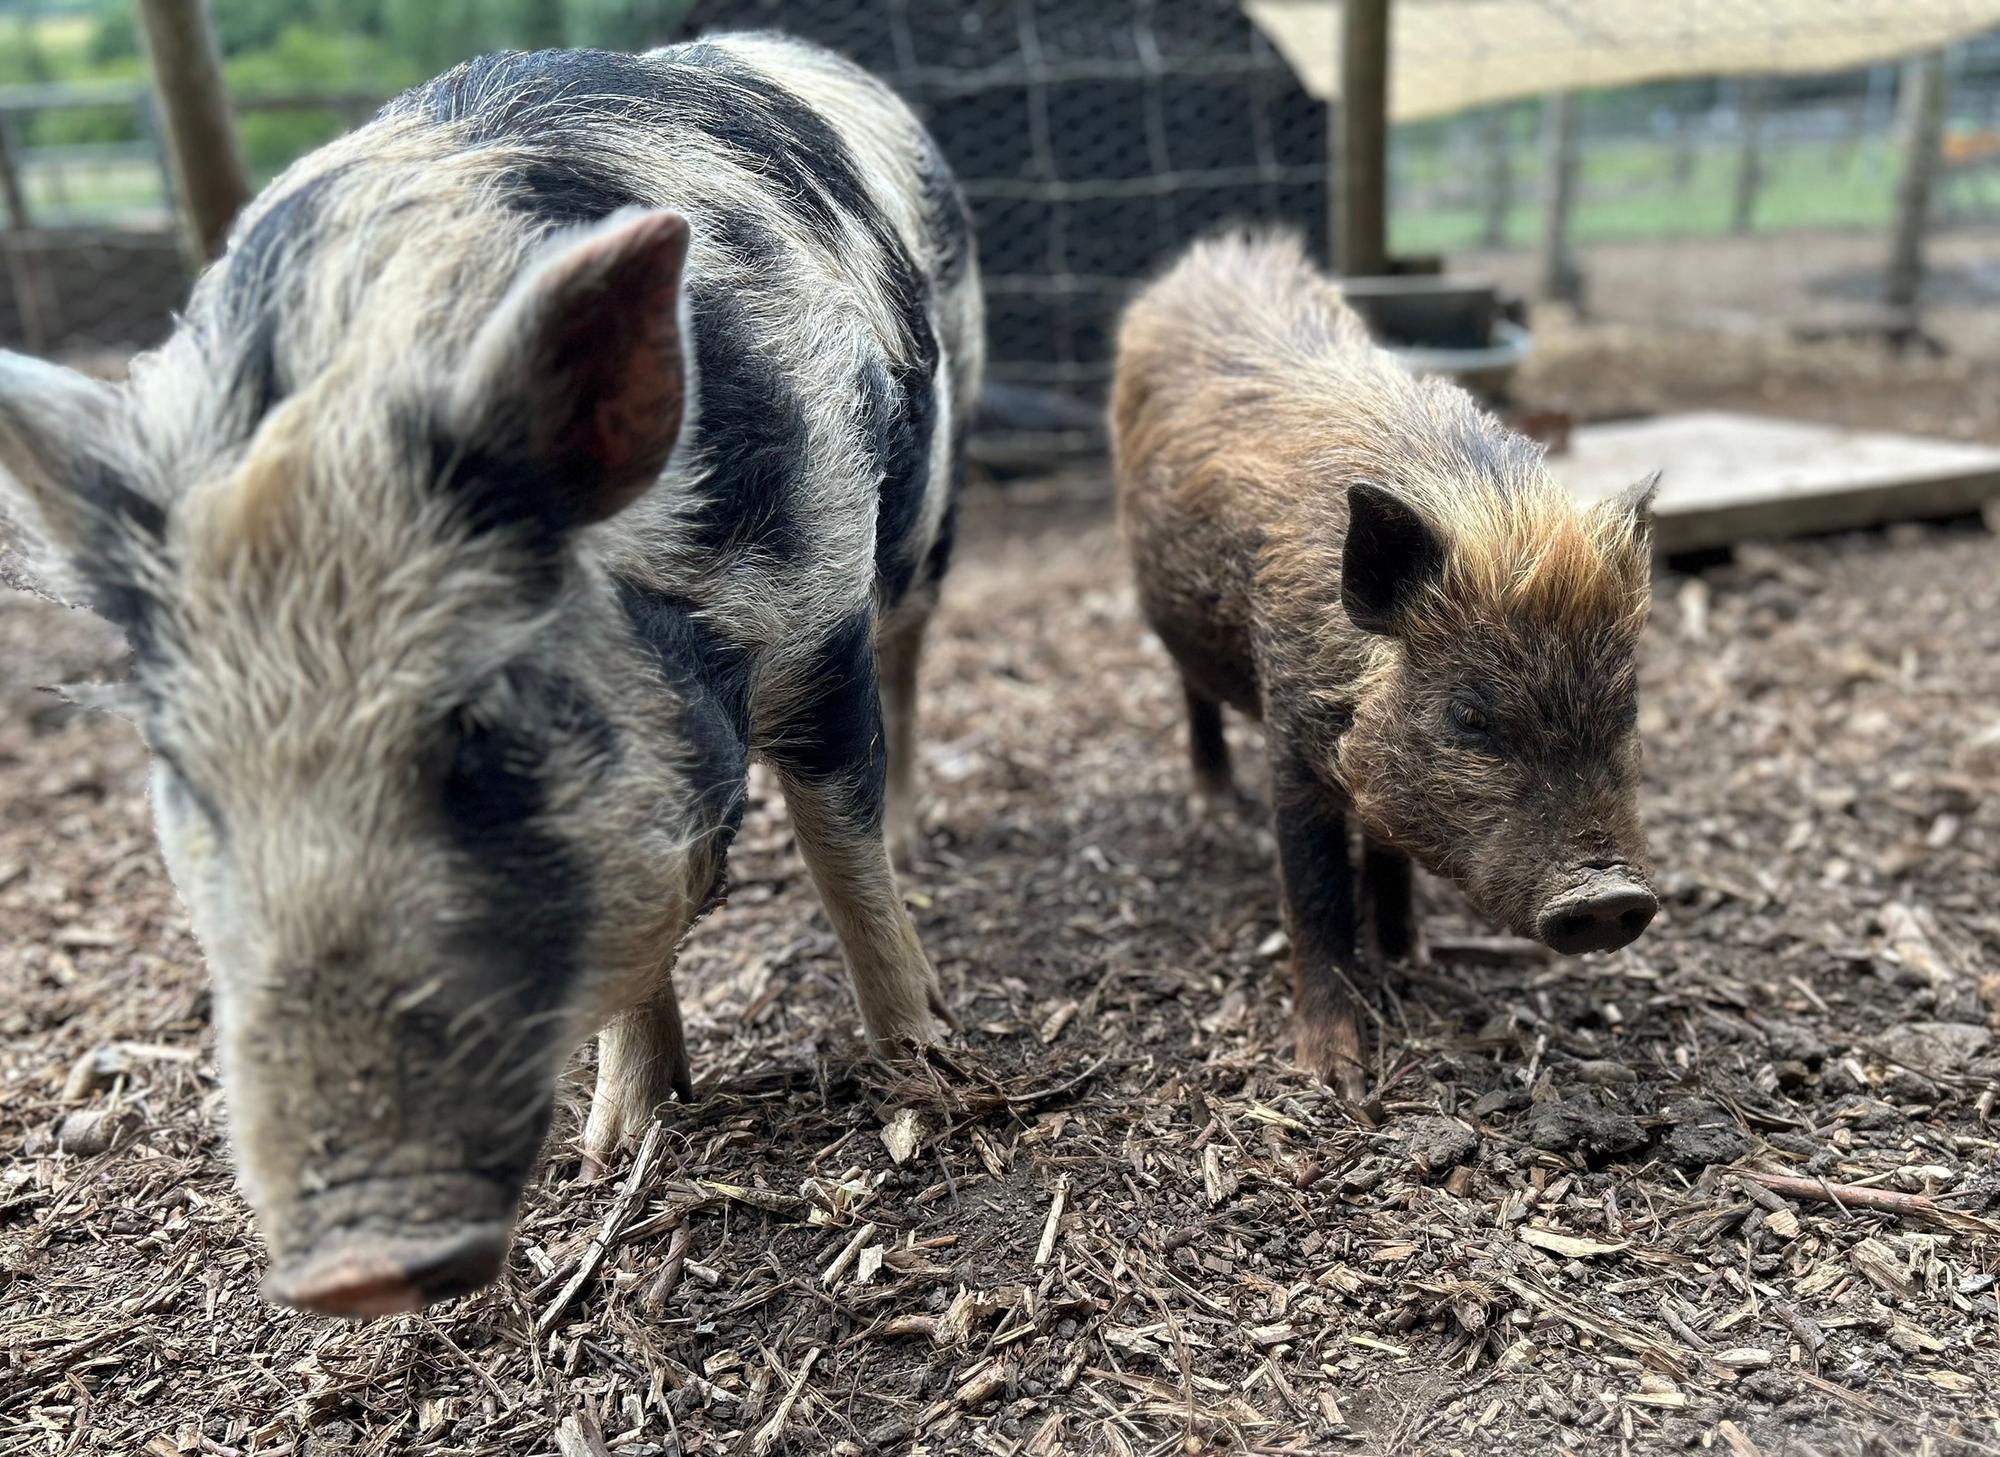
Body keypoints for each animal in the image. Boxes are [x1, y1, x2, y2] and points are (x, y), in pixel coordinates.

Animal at [0, 34, 982, 1316]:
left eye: (480, 723)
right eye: (182, 767)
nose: (357, 1268)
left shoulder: (818, 609)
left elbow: (842, 851)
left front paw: (930, 1074)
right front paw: (616, 1146)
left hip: (932, 490)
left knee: (909, 655)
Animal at [1111, 233, 1657, 1098]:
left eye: (1628, 704)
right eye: (1469, 714)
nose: (1609, 896)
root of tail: (1213, 254)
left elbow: (1393, 853)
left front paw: (1414, 961)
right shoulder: (1290, 736)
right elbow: (1318, 897)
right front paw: (1333, 1077)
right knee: (1191, 694)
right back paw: (1214, 811)